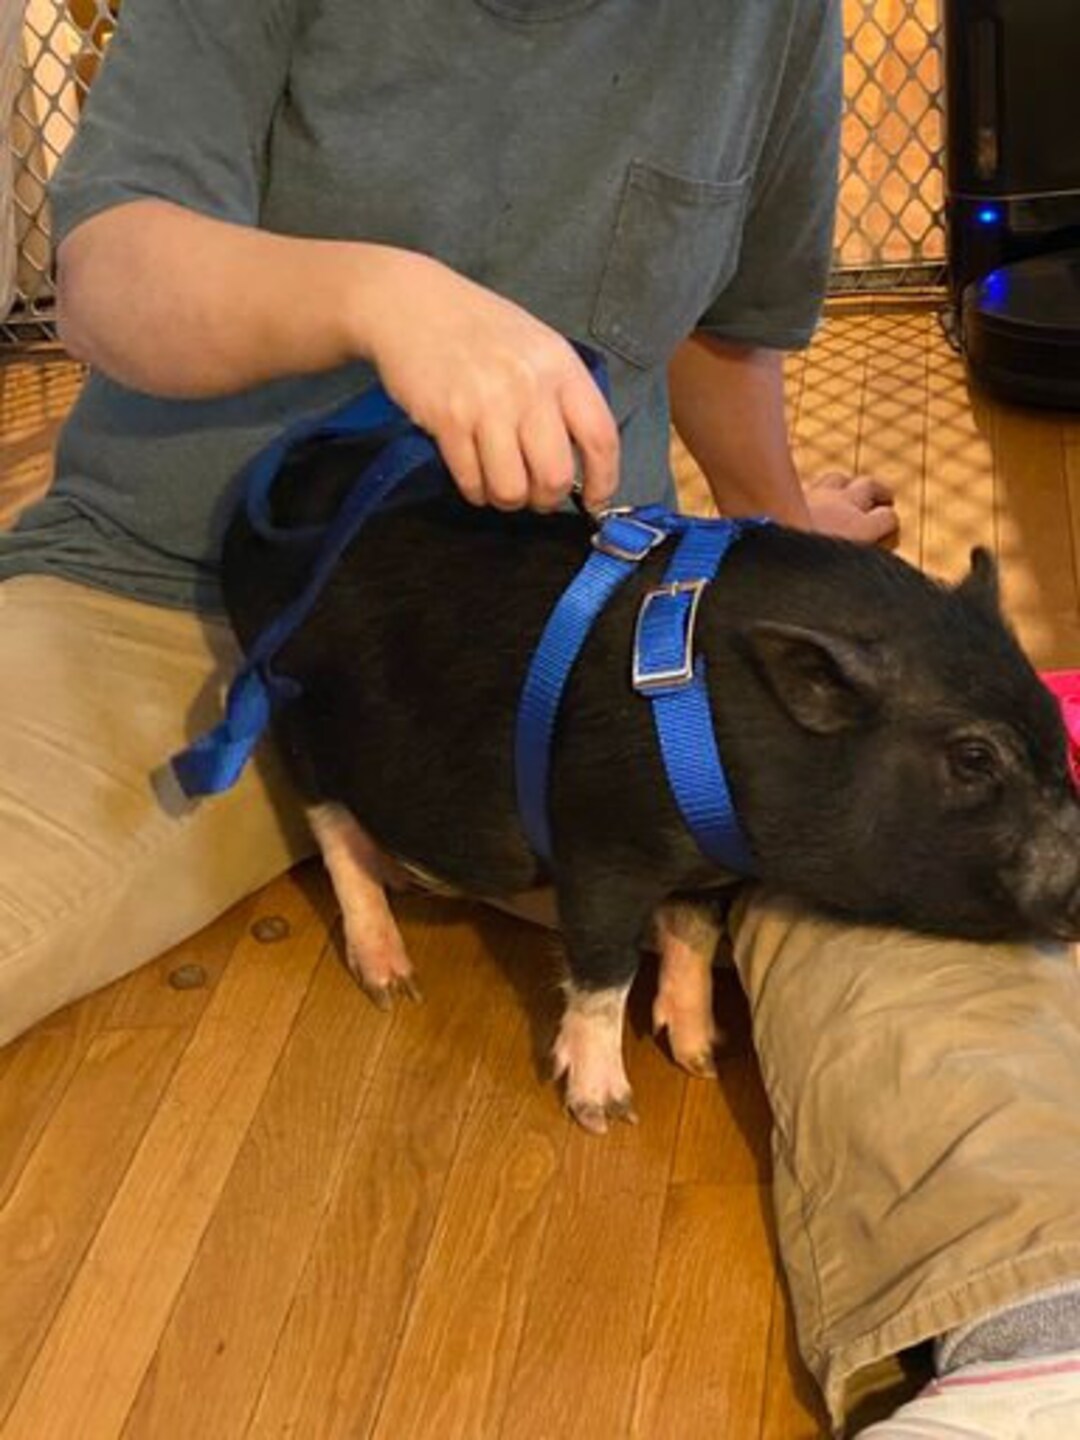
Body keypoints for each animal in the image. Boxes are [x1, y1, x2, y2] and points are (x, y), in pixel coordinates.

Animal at [220, 435, 1080, 1131]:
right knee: (331, 826)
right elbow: (604, 964)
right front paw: (605, 1111)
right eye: (974, 758)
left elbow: (694, 934)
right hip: (292, 708)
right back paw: (393, 978)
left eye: (1052, 727)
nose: (1078, 886)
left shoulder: (712, 860)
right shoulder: (599, 840)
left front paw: (701, 1054)